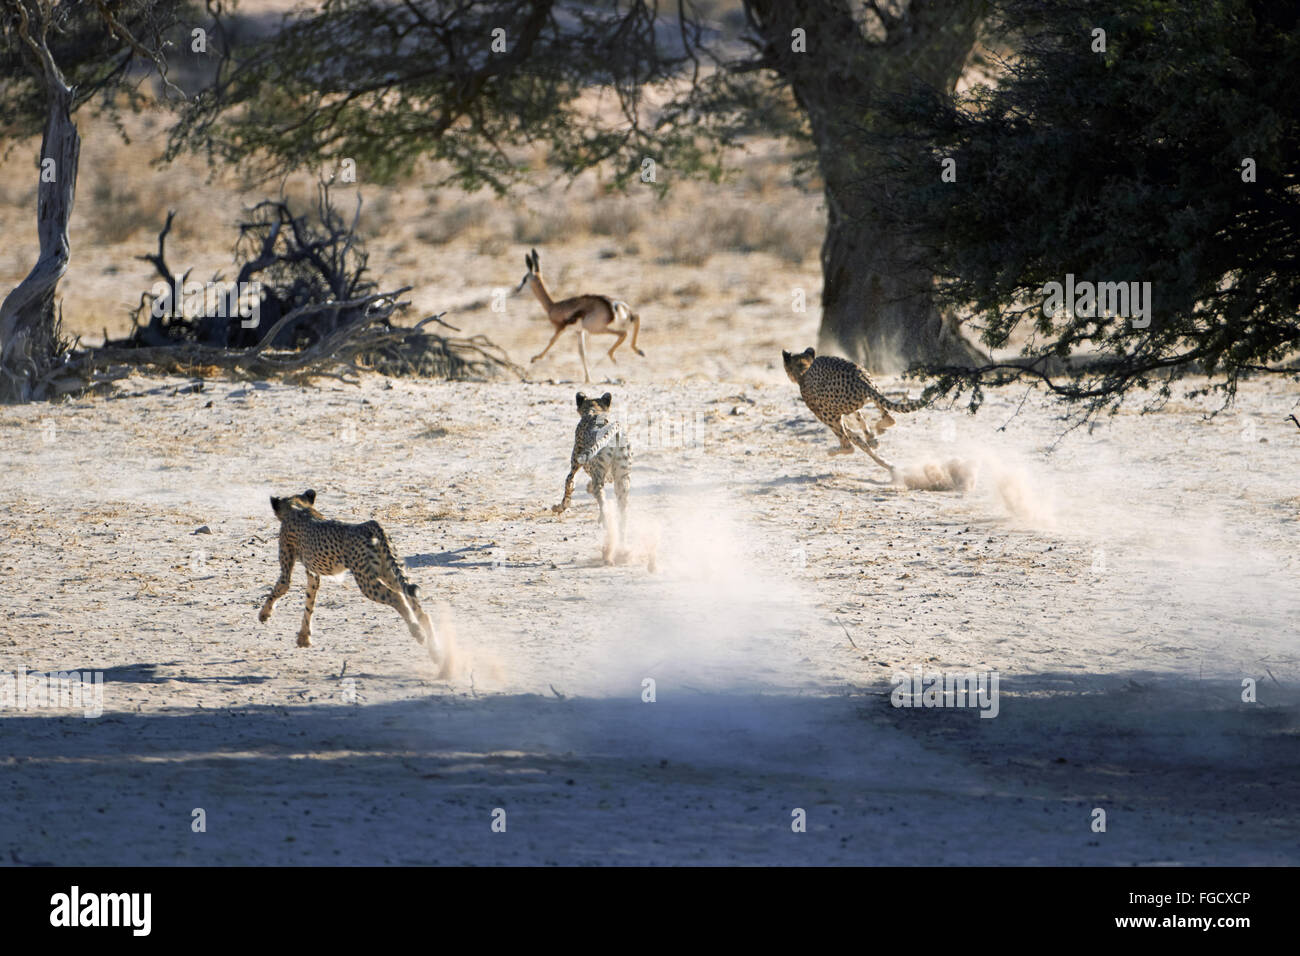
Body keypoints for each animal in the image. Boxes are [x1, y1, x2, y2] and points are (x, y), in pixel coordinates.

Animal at [258, 489, 433, 648]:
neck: (298, 507)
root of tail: (370, 524)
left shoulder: (288, 564)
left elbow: (281, 587)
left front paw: (264, 614)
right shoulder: (313, 574)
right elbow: (309, 602)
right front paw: (304, 638)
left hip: (366, 580)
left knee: (397, 597)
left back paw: (418, 633)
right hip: (388, 571)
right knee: (415, 604)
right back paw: (434, 649)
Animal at [513, 248, 644, 383]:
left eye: (524, 279)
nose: (517, 289)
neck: (552, 306)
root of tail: (614, 303)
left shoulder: (560, 327)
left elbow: (551, 341)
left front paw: (534, 358)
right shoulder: (579, 331)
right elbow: (582, 352)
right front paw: (587, 379)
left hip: (595, 328)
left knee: (623, 333)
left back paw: (613, 356)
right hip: (614, 322)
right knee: (636, 317)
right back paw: (639, 351)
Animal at [552, 391, 631, 555]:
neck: (593, 410)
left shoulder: (575, 465)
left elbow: (568, 485)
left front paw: (560, 507)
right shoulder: (610, 476)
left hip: (598, 474)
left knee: (602, 499)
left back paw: (604, 521)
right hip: (622, 479)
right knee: (623, 513)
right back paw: (621, 545)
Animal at [782, 347, 926, 475]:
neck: (804, 370)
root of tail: (860, 377)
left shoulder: (826, 415)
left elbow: (854, 437)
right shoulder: (851, 408)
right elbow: (860, 429)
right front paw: (873, 442)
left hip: (828, 413)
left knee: (848, 445)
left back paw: (833, 451)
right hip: (872, 393)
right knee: (889, 418)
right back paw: (879, 428)